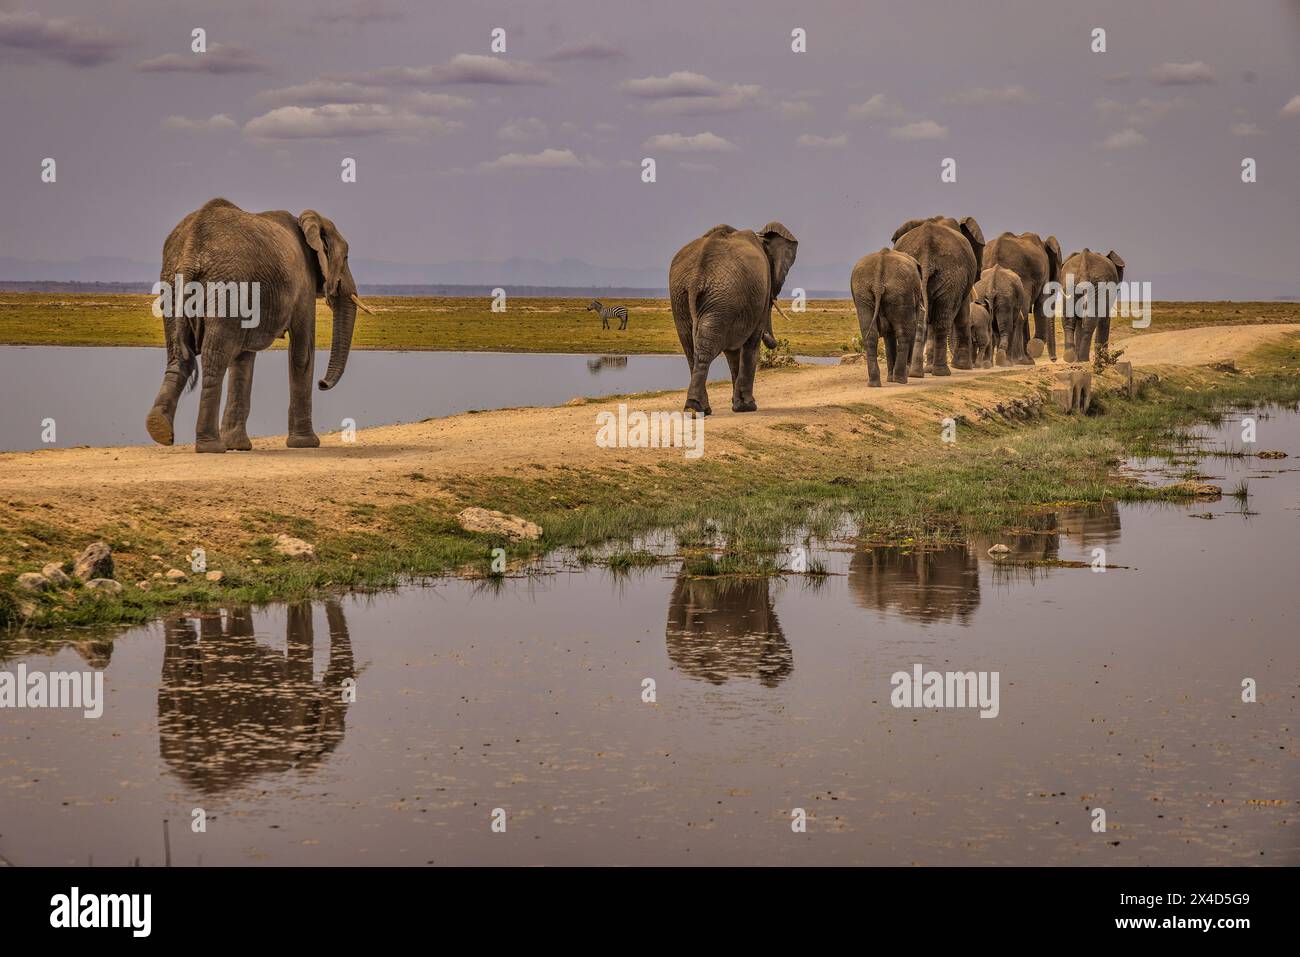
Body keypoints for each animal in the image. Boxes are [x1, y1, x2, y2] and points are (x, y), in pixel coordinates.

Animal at [145, 197, 374, 453]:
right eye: (345, 258)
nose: (322, 384)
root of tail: (190, 251)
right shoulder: (302, 282)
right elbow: (302, 351)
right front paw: (306, 444)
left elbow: (243, 358)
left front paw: (238, 446)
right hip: (226, 287)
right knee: (215, 359)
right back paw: (210, 446)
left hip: (173, 286)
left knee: (179, 356)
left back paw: (160, 429)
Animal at [669, 222, 798, 415]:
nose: (772, 341)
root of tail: (695, 277)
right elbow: (751, 345)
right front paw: (747, 407)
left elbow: (733, 352)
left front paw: (739, 405)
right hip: (719, 298)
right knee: (705, 350)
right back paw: (696, 408)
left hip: (685, 297)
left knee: (692, 350)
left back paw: (698, 409)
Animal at [849, 247, 924, 386]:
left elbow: (888, 334)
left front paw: (890, 379)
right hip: (901, 292)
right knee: (904, 334)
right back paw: (901, 380)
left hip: (863, 292)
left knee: (870, 335)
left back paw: (874, 383)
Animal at [891, 215, 985, 377]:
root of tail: (925, 251)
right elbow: (962, 315)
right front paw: (963, 367)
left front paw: (928, 369)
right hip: (951, 275)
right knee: (943, 319)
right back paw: (942, 372)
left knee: (923, 320)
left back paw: (915, 373)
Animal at [981, 231, 1062, 362]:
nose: (1054, 359)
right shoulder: (1040, 275)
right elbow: (1041, 304)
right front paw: (1034, 349)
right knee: (1020, 314)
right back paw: (1019, 360)